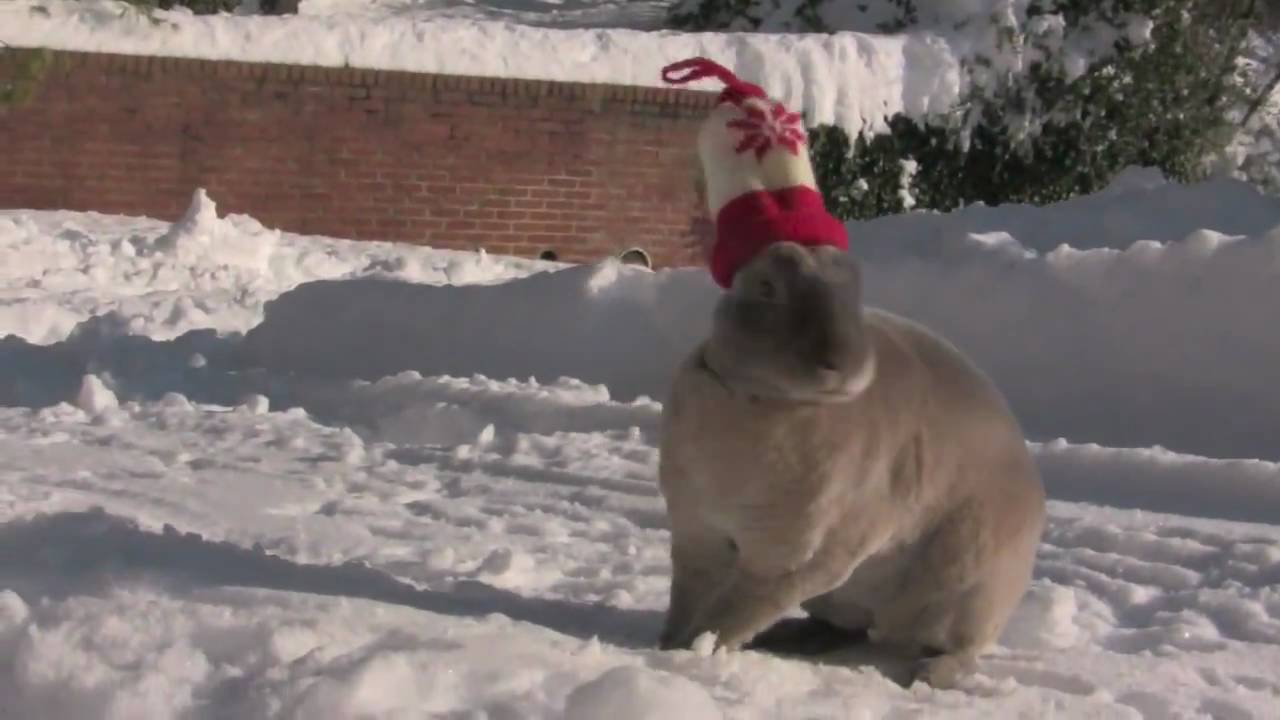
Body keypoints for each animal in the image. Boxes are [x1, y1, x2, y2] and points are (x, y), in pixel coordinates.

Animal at [656, 240, 1047, 689]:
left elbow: (734, 612)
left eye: (854, 296)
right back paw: (790, 636)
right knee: (845, 627)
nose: (839, 362)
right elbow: (692, 595)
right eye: (766, 287)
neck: (759, 397)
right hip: (842, 596)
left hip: (962, 592)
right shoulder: (699, 535)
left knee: (960, 648)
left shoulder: (796, 558)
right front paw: (668, 644)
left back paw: (928, 675)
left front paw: (697, 648)